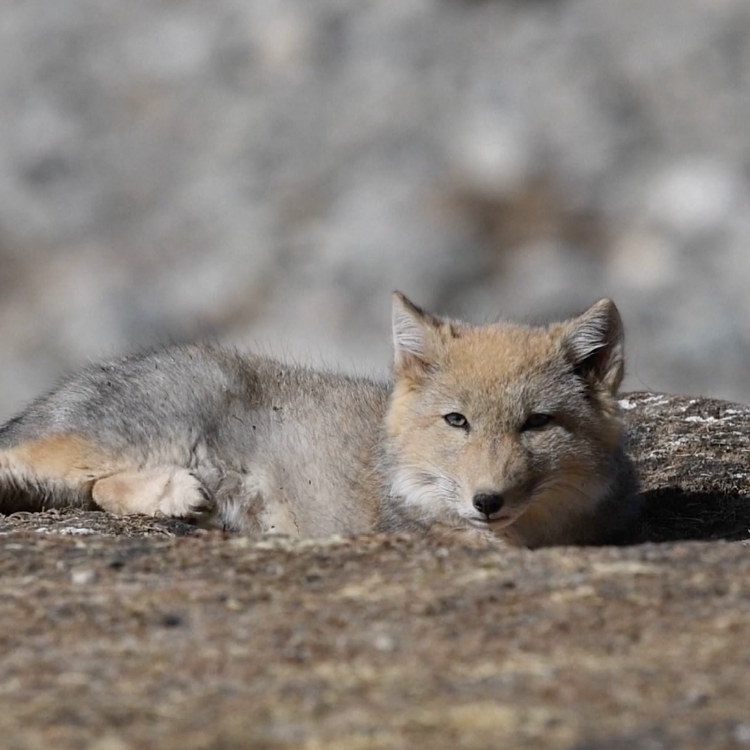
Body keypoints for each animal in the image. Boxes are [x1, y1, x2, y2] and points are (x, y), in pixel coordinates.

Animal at [0, 293, 639, 548]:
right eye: (456, 421)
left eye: (537, 423)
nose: (487, 501)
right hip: (130, 438)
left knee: (93, 491)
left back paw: (177, 496)